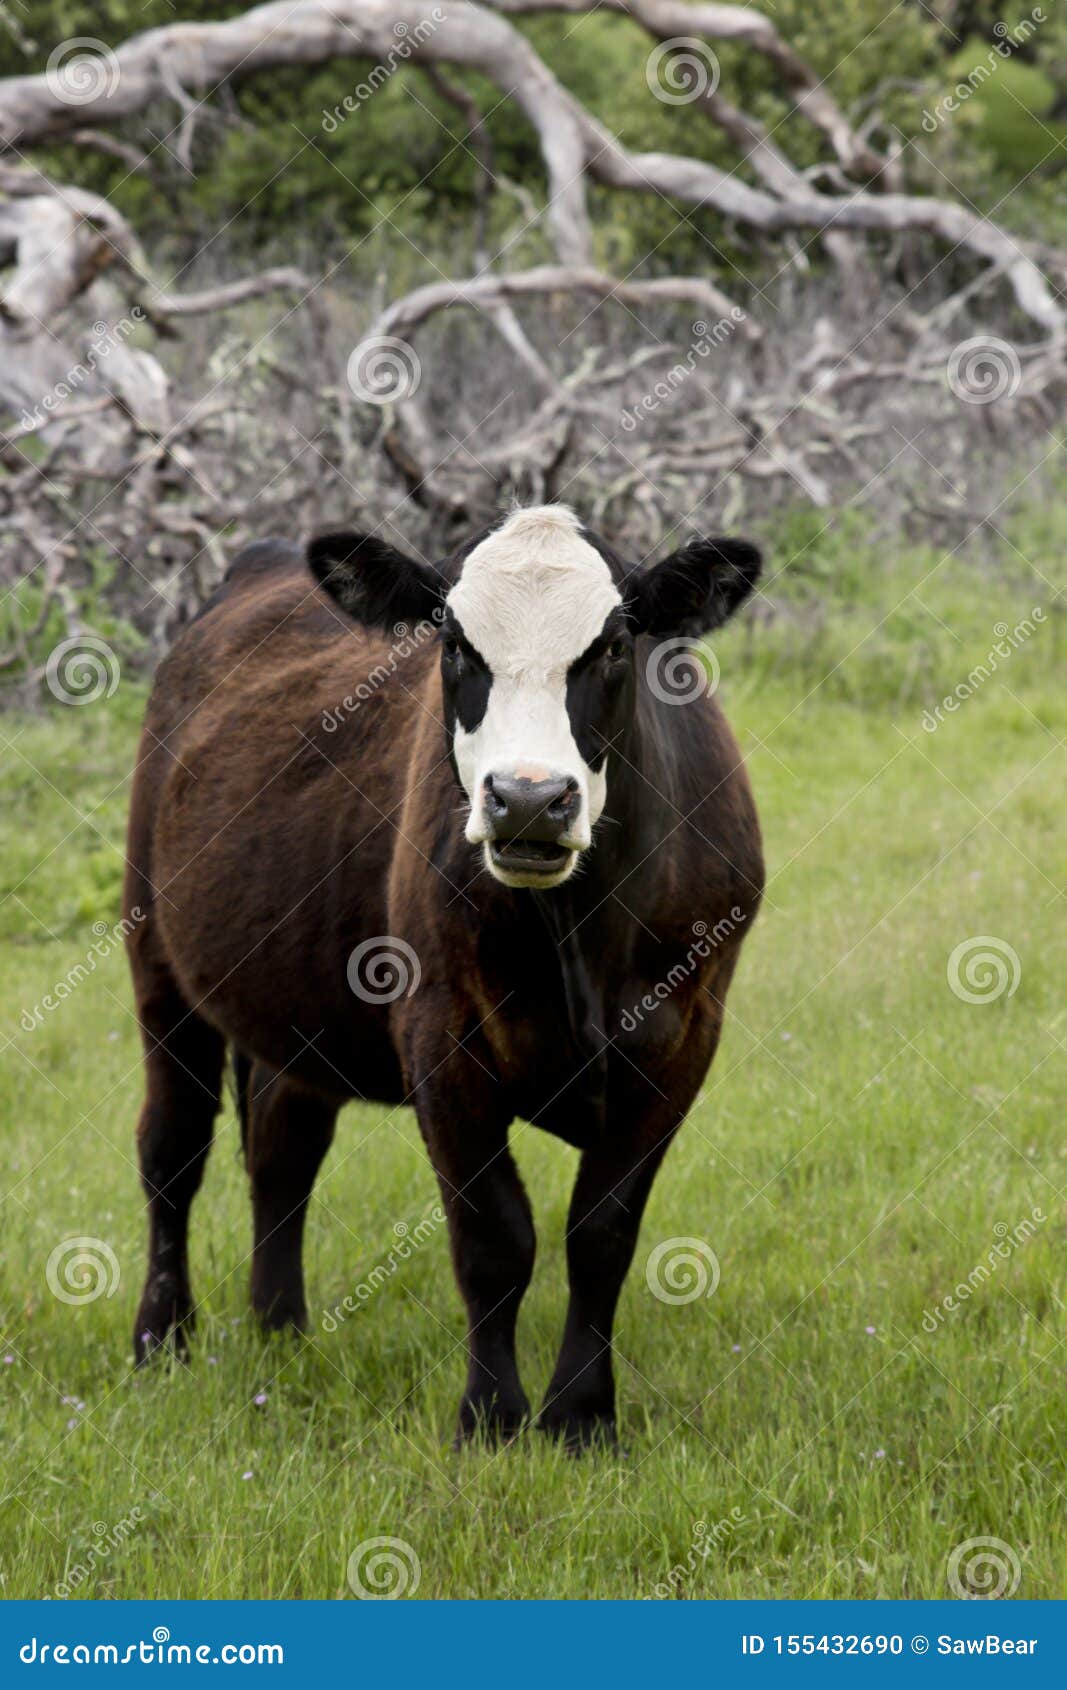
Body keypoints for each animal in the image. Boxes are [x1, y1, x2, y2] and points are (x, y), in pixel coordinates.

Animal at [125, 504, 764, 1449]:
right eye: (455, 644)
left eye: (614, 644)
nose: (529, 800)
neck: (578, 936)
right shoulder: (441, 1034)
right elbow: (493, 1236)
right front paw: (491, 1418)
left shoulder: (682, 1034)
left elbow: (601, 1232)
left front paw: (580, 1416)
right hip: (158, 962)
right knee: (173, 1151)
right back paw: (161, 1338)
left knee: (282, 1150)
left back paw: (280, 1329)